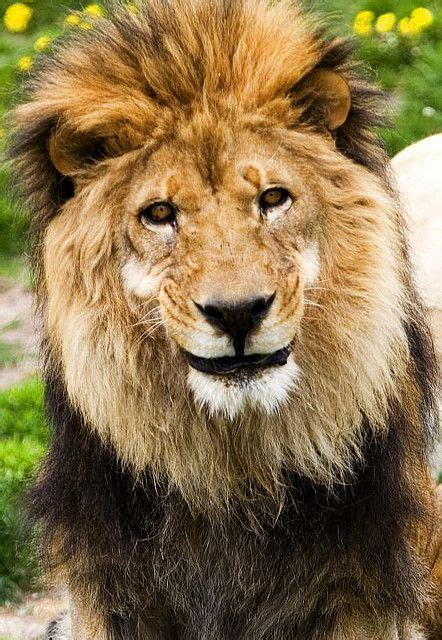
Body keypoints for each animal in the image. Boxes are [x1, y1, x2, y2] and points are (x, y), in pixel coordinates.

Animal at [8, 0, 441, 638]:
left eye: (273, 199)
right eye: (159, 214)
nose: (237, 313)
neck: (232, 469)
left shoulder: (363, 595)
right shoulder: (111, 597)